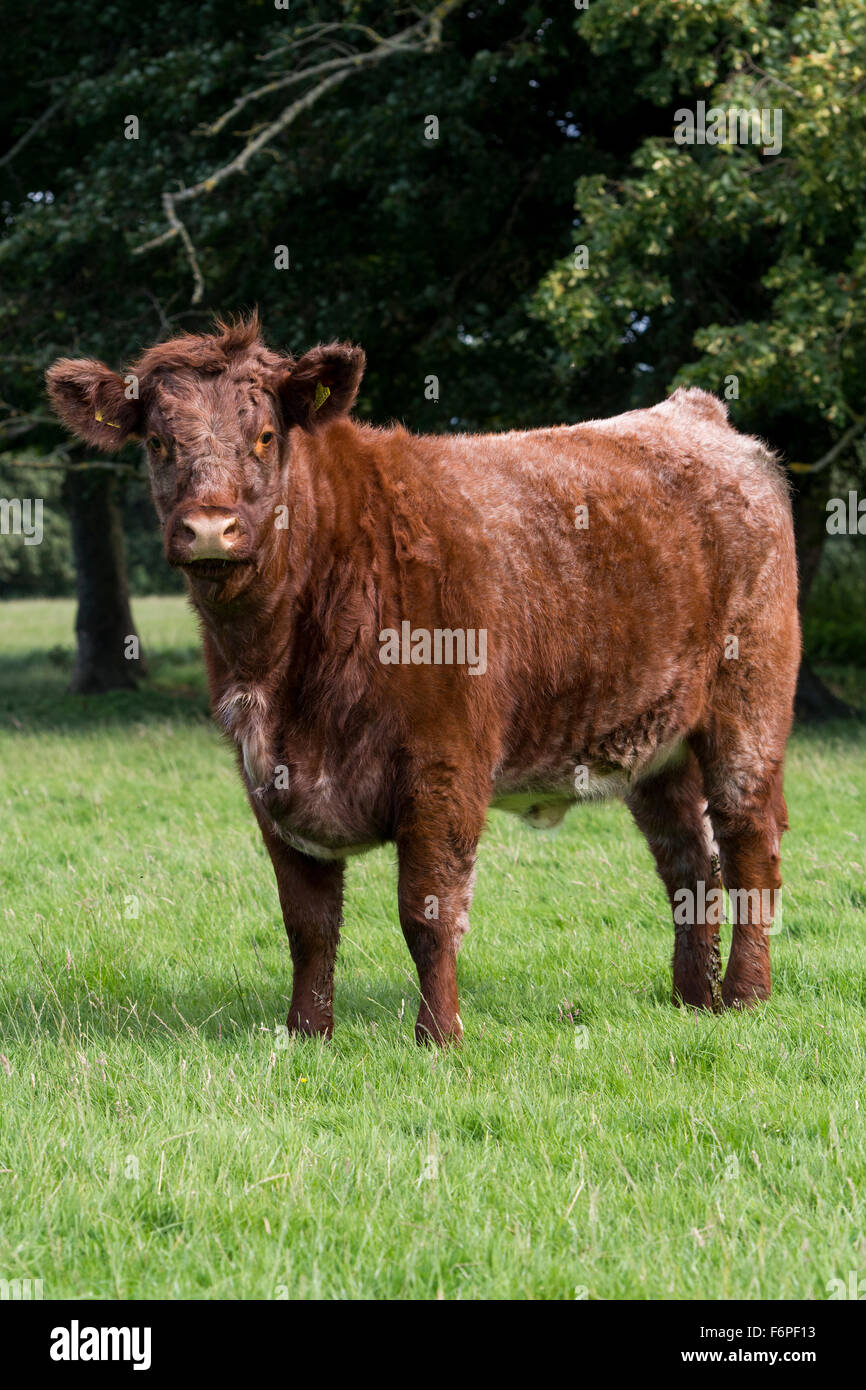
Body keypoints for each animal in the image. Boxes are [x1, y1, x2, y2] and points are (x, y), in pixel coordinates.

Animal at [47, 314, 800, 1044]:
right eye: (157, 443)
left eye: (264, 436)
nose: (210, 528)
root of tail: (692, 414)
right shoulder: (268, 782)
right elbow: (308, 922)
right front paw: (306, 1034)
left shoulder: (445, 767)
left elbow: (428, 915)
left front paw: (439, 1036)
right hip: (655, 739)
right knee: (688, 861)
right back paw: (691, 999)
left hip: (748, 708)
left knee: (748, 843)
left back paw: (745, 995)